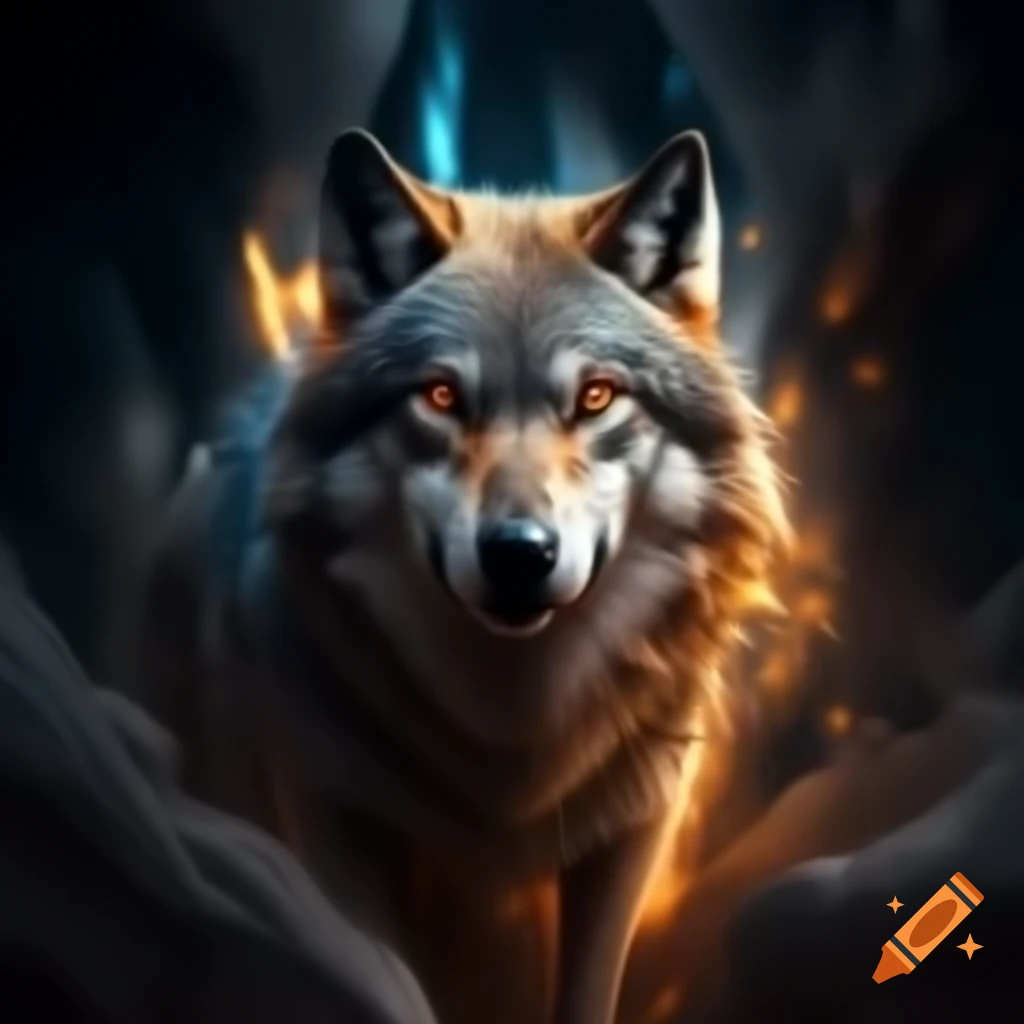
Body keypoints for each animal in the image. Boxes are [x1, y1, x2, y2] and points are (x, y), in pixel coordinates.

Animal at [133, 128, 787, 1024]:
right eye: (441, 395)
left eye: (596, 396)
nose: (518, 551)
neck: (508, 742)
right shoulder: (333, 820)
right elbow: (393, 988)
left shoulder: (632, 830)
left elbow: (588, 993)